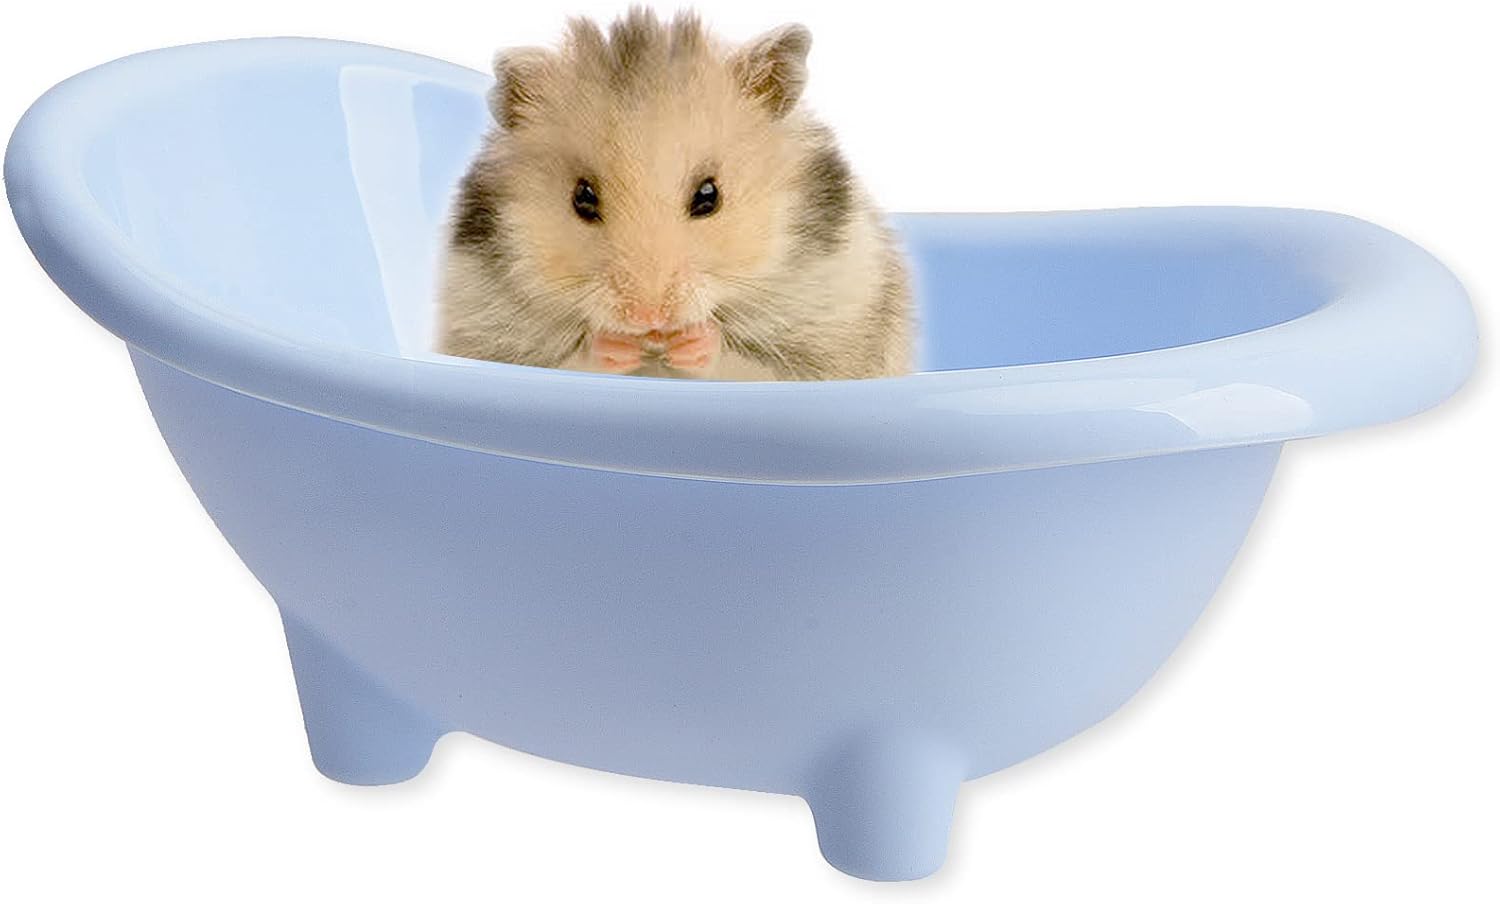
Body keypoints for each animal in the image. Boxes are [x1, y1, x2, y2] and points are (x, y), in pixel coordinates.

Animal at [436, 7, 915, 381]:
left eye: (709, 195)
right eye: (582, 198)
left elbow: (740, 364)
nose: (649, 318)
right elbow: (574, 359)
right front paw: (614, 345)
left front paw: (695, 342)